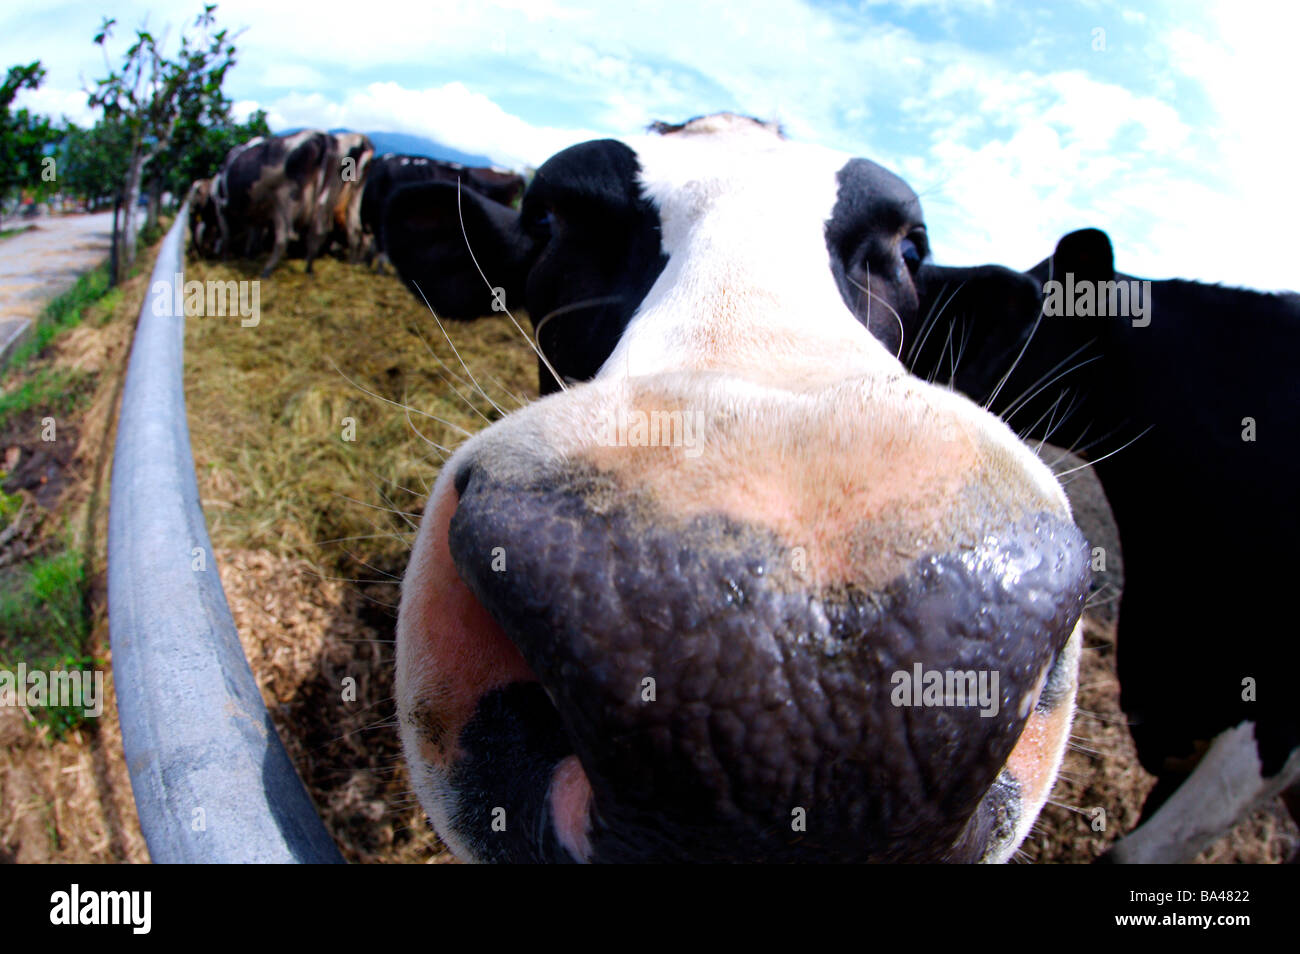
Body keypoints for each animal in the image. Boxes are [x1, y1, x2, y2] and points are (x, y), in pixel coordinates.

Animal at [212, 130, 341, 277]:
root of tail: (319, 135)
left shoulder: (220, 208)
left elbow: (226, 235)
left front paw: (225, 260)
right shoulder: (255, 212)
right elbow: (253, 234)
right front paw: (250, 254)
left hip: (284, 200)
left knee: (283, 238)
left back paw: (266, 271)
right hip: (328, 199)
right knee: (317, 234)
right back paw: (309, 270)